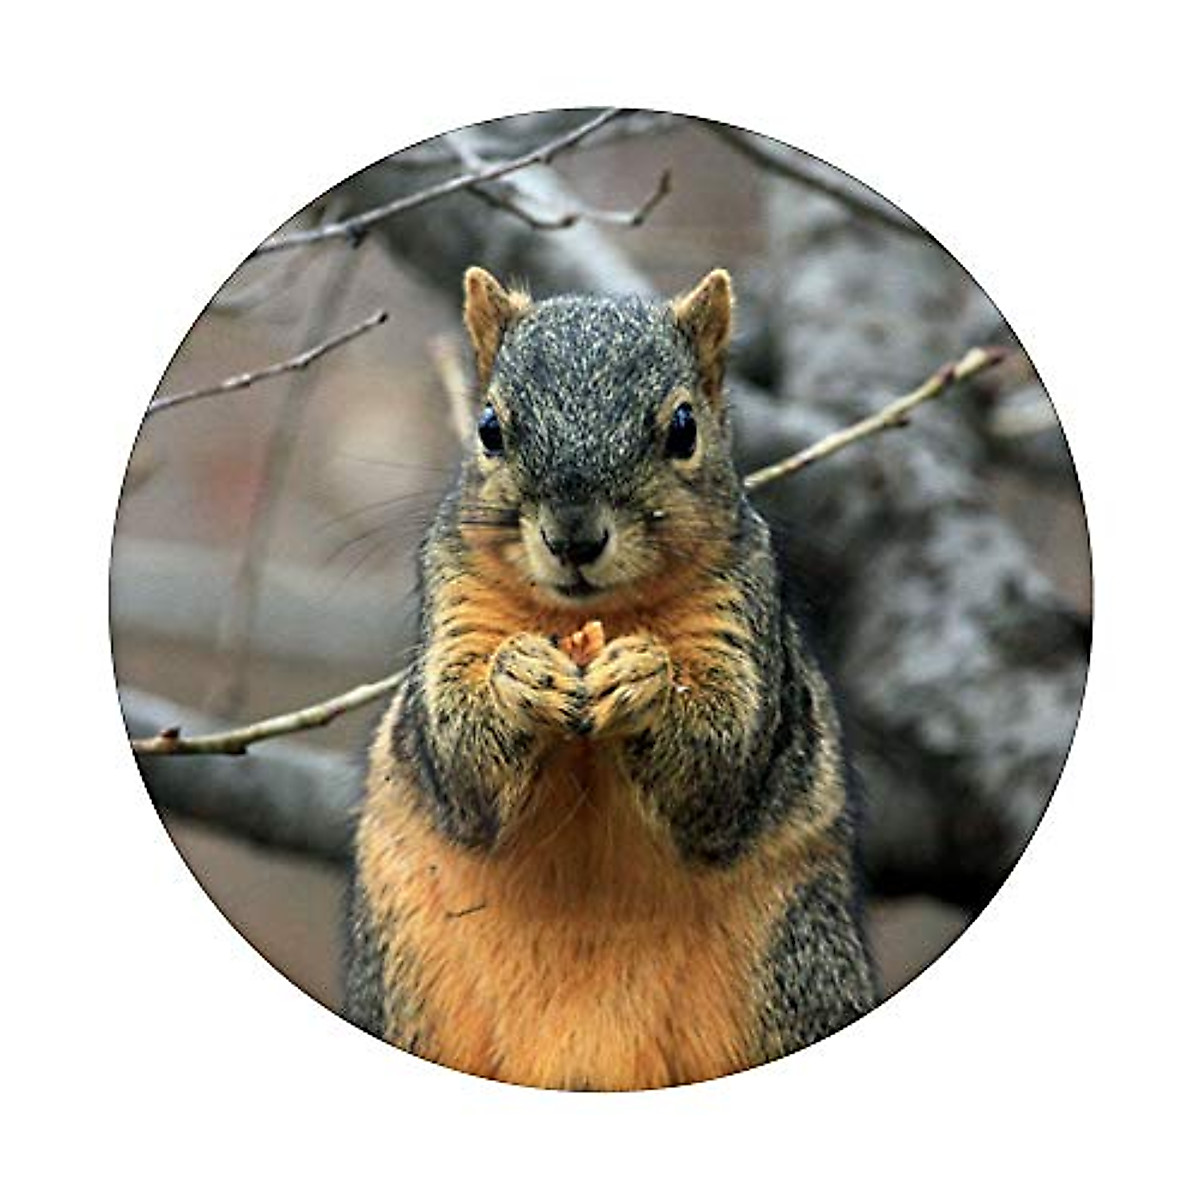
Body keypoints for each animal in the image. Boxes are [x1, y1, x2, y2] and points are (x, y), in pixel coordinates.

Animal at [344, 266, 878, 1089]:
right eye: (490, 428)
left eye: (684, 428)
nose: (573, 537)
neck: (590, 618)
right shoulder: (454, 603)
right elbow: (459, 762)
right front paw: (520, 676)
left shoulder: (740, 618)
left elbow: (724, 762)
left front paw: (647, 680)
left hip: (796, 967)